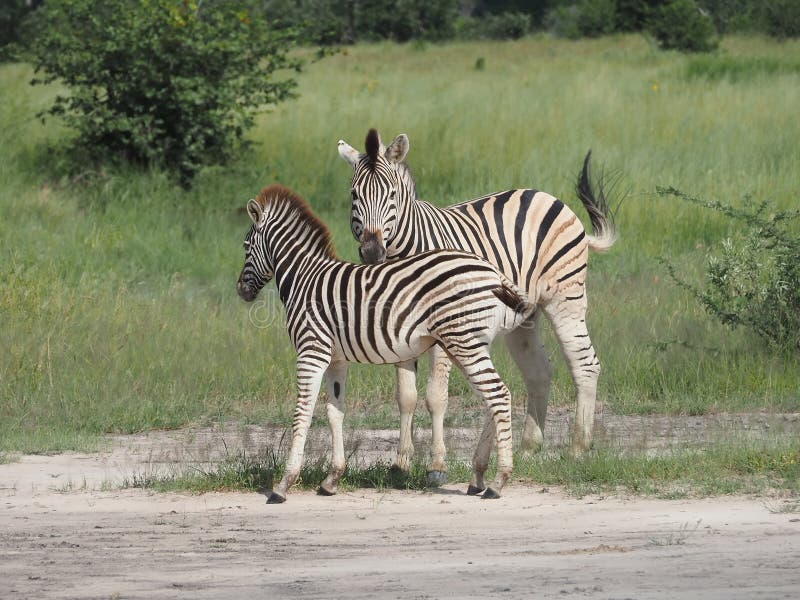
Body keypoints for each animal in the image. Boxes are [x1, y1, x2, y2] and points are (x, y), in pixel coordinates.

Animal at [236, 184, 534, 503]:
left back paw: (498, 481)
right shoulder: (336, 359)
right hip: (468, 343)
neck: (304, 277)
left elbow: (302, 413)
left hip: (464, 342)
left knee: (498, 395)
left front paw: (284, 484)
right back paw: (479, 477)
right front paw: (332, 479)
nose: (240, 290)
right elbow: (334, 413)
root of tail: (492, 271)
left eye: (245, 246)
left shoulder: (311, 350)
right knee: (495, 397)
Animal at [337, 129, 616, 481]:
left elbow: (436, 396)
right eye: (354, 195)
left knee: (585, 364)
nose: (373, 252)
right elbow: (406, 397)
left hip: (566, 297)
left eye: (391, 195)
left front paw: (437, 466)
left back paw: (578, 448)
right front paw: (400, 465)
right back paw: (529, 448)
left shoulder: (443, 330)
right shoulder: (397, 333)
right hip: (524, 314)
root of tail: (545, 195)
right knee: (539, 370)